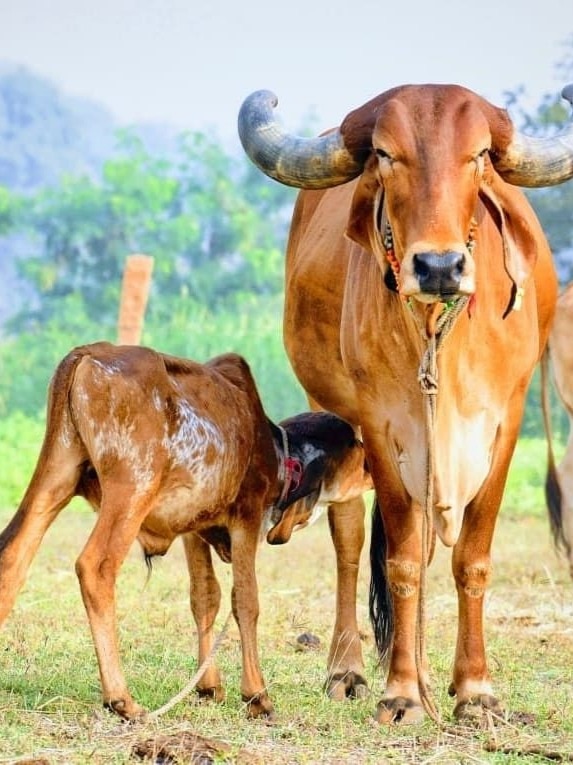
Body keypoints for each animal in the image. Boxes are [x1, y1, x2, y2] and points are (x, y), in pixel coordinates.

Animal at [0, 342, 372, 721]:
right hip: (132, 487)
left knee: (12, 557)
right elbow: (246, 600)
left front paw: (209, 686)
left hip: (58, 475)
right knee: (95, 566)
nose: (374, 467)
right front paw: (257, 695)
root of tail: (88, 354)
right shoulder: (247, 517)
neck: (274, 449)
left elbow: (205, 597)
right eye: (357, 449)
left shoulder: (194, 530)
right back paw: (121, 698)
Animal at [238, 83, 573, 723]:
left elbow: (471, 558)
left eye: (479, 155)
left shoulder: (506, 423)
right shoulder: (380, 423)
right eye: (386, 155)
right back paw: (348, 668)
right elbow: (402, 559)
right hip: (337, 417)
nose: (438, 266)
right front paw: (401, 692)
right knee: (349, 540)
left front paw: (474, 689)